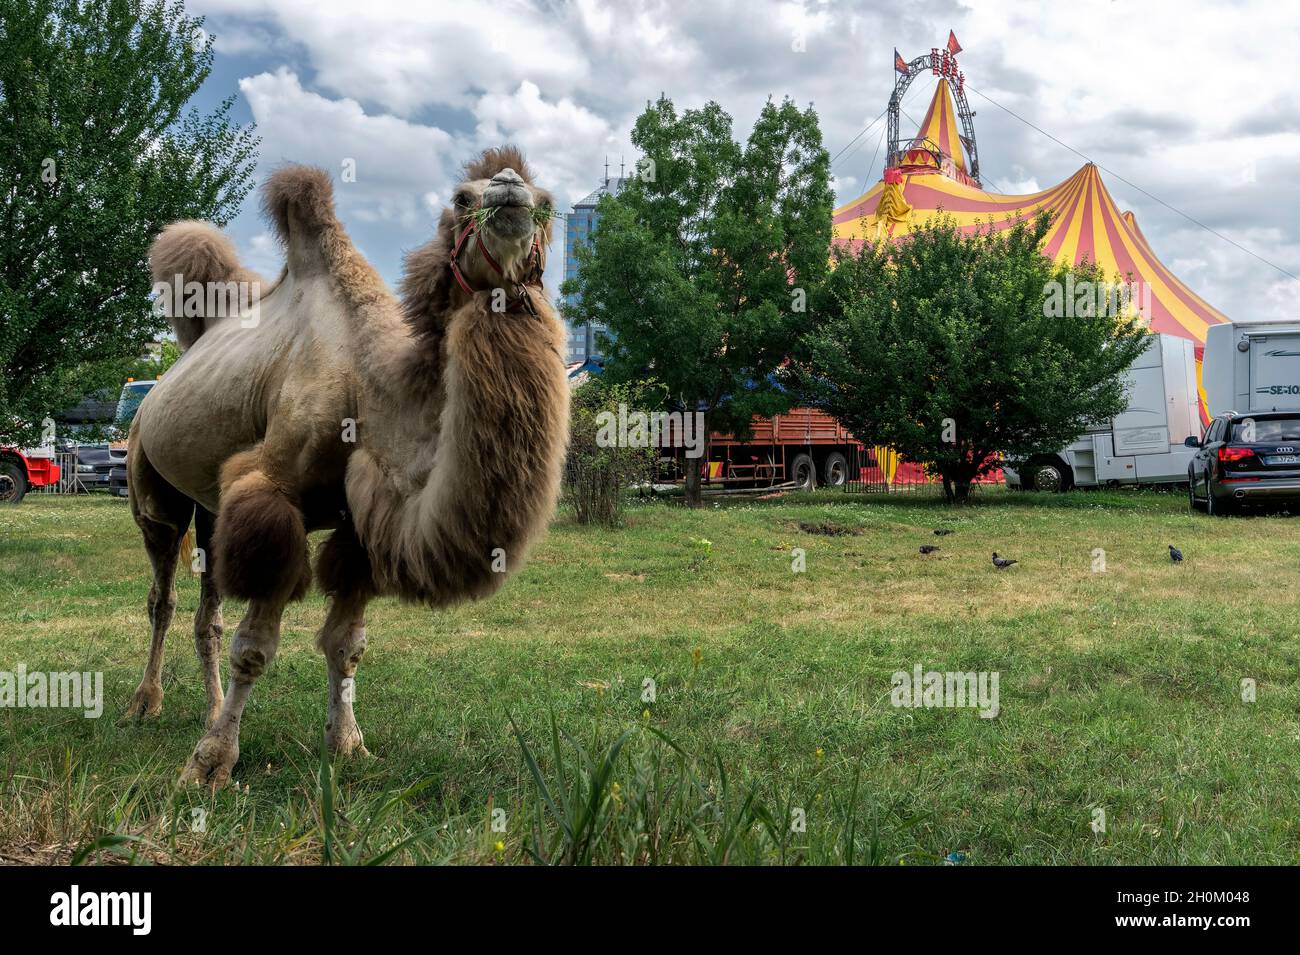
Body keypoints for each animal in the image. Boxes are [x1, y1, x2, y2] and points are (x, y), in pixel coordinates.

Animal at [122, 146, 570, 787]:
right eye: (461, 199)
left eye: (547, 203)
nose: (509, 191)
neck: (371, 395)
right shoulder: (269, 494)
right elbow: (254, 648)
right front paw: (211, 763)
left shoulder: (362, 526)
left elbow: (346, 643)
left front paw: (347, 744)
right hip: (153, 492)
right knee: (163, 594)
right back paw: (145, 703)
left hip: (211, 508)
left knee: (208, 609)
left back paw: (208, 708)